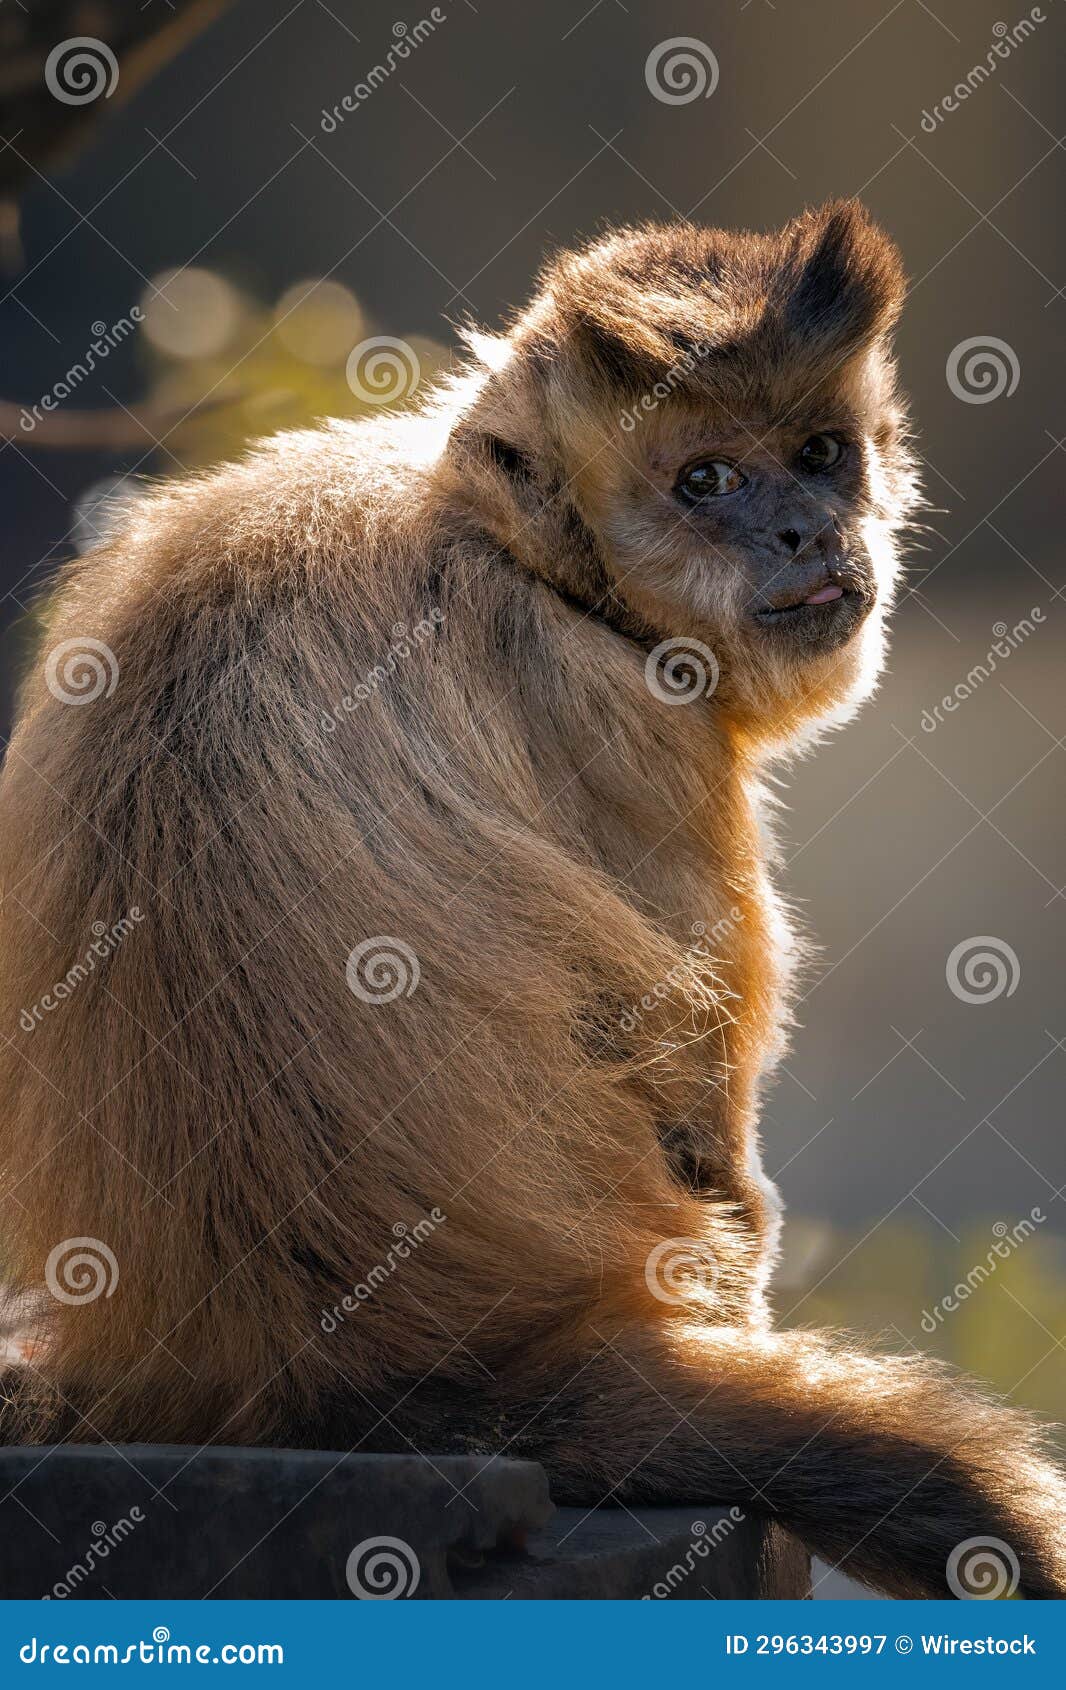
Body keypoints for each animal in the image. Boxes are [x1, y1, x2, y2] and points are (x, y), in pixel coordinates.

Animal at [0, 199, 1063, 1600]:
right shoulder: (620, 706)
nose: (804, 530)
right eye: (707, 482)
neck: (515, 556)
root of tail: (362, 1373)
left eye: (818, 454)